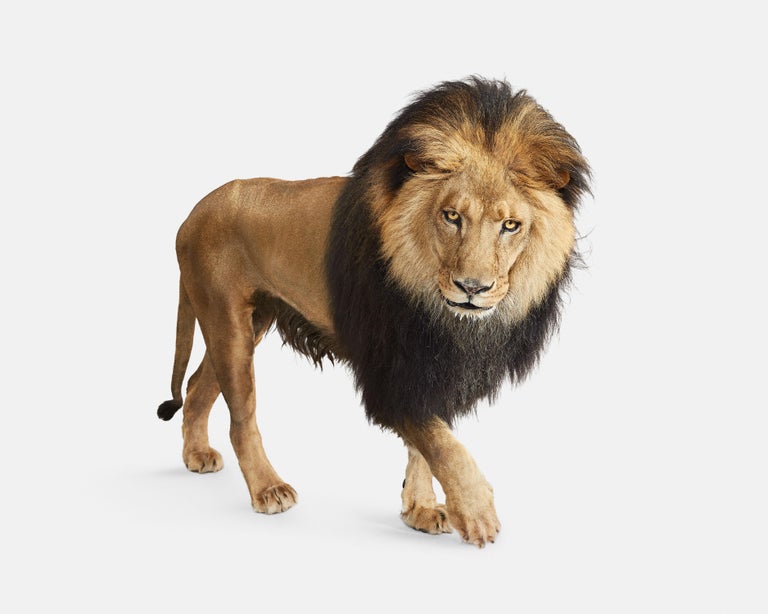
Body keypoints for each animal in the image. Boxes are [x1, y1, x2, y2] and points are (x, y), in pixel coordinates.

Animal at [156, 77, 590, 547]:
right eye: (451, 216)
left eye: (510, 226)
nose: (472, 289)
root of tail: (195, 211)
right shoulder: (387, 369)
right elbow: (442, 443)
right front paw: (475, 511)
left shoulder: (427, 366)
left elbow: (426, 443)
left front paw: (420, 509)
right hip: (227, 320)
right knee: (242, 416)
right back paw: (268, 489)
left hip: (250, 321)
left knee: (198, 386)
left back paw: (196, 454)